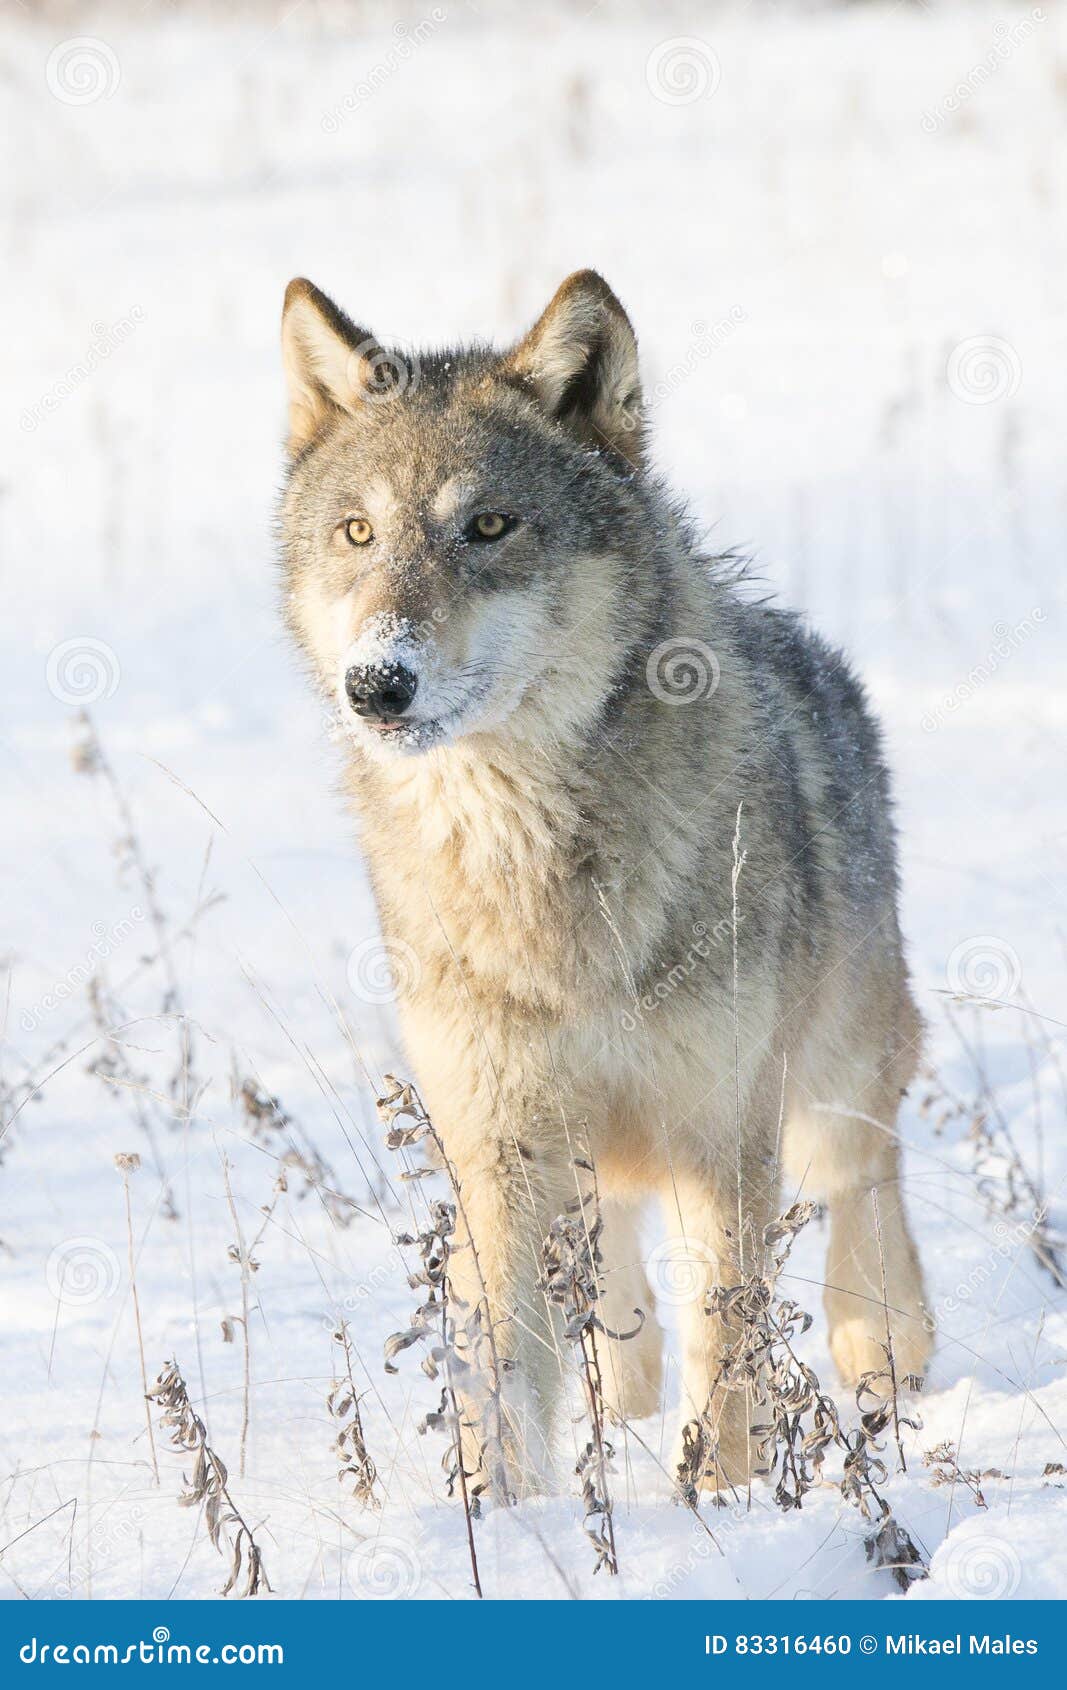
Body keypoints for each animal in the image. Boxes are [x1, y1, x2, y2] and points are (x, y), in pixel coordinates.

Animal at [278, 269, 931, 1496]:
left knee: (864, 1179)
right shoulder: (498, 1147)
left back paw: (887, 1350)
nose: (377, 683)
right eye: (359, 532)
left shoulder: (721, 1133)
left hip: (827, 1082)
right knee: (611, 1279)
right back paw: (620, 1392)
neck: (532, 863)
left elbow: (727, 1359)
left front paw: (725, 1502)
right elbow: (500, 1369)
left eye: (488, 526)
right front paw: (504, 1513)